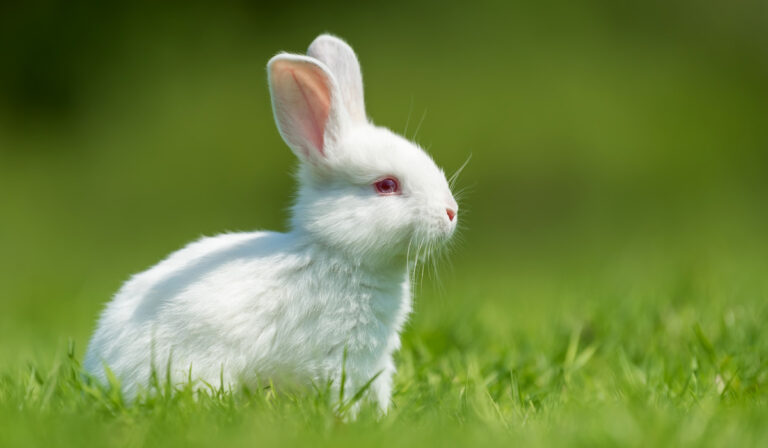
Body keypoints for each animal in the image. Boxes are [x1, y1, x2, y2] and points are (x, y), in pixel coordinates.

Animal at [83, 34, 459, 412]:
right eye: (386, 185)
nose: (451, 212)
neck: (337, 254)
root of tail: (99, 366)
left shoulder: (375, 360)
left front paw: (382, 417)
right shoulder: (340, 355)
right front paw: (352, 419)